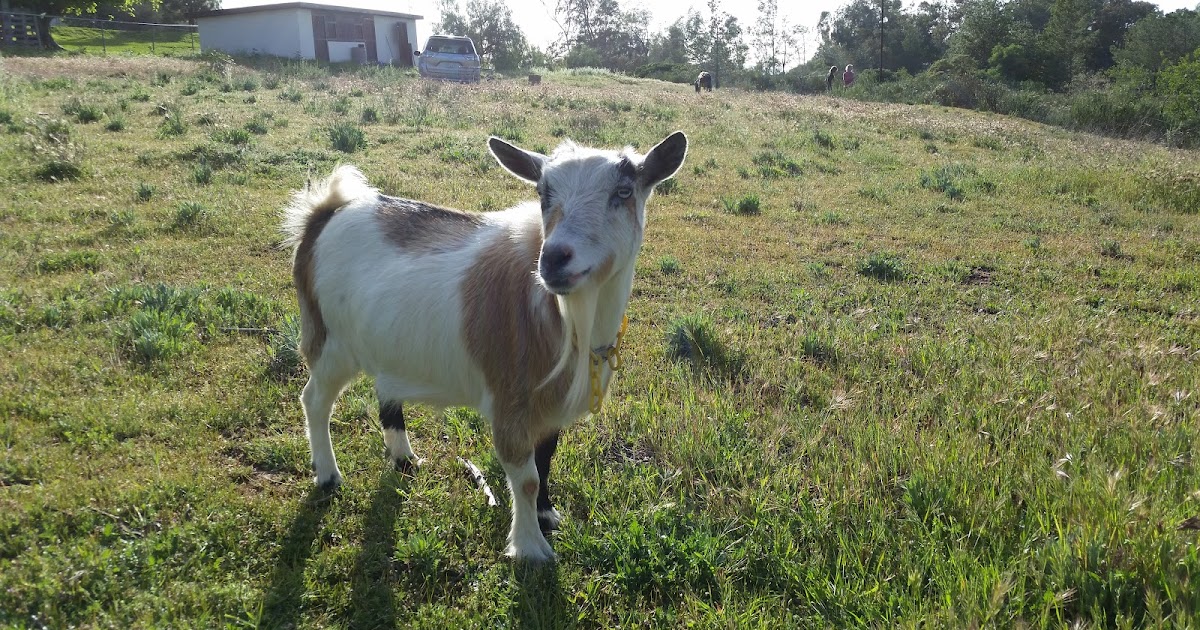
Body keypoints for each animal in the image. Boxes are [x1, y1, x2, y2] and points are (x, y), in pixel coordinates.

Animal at [281, 132, 688, 561]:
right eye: (542, 193)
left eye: (624, 191)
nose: (553, 259)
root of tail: (326, 211)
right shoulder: (509, 400)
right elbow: (526, 478)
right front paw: (530, 549)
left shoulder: (547, 408)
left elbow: (546, 459)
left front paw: (546, 515)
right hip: (330, 341)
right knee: (314, 400)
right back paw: (328, 475)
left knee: (383, 389)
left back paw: (403, 457)